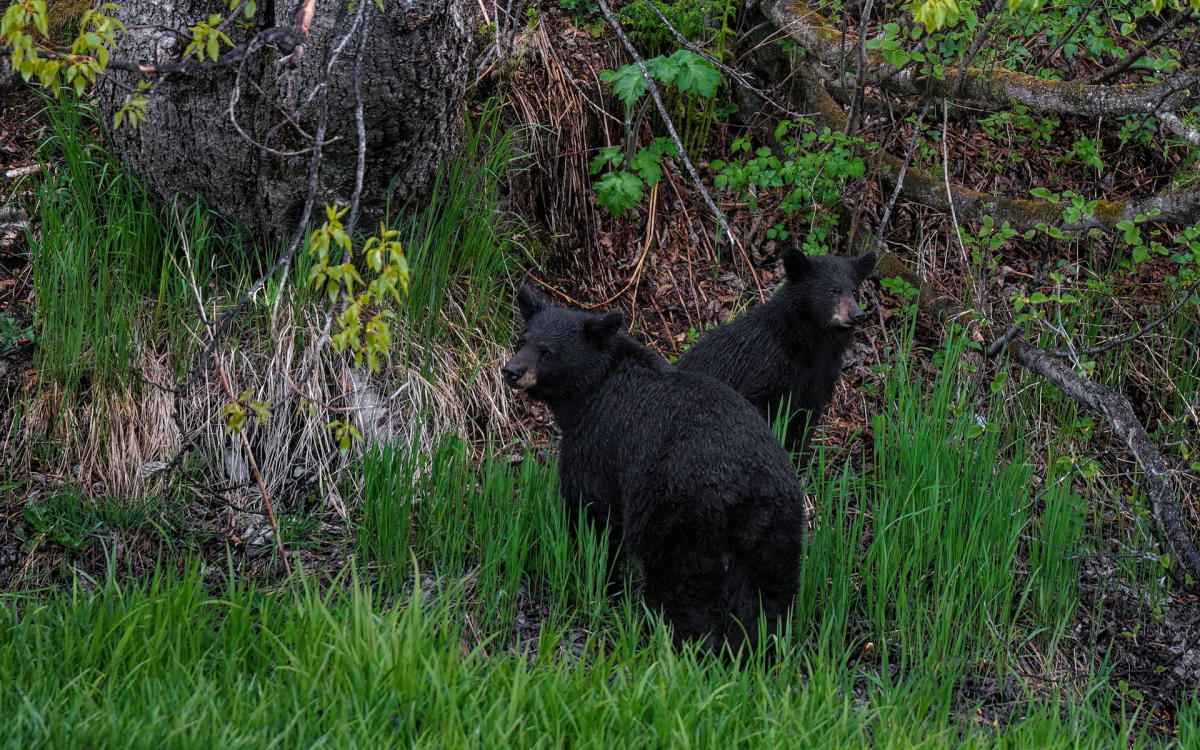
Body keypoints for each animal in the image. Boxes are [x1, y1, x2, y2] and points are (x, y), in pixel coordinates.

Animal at [502, 285, 805, 653]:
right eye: (523, 339)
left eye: (548, 351)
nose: (512, 370)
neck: (593, 388)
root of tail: (749, 495)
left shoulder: (599, 443)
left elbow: (593, 512)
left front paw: (598, 576)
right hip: (779, 532)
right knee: (768, 598)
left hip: (682, 522)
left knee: (684, 590)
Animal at [676, 248, 876, 464]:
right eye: (832, 291)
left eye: (854, 291)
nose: (857, 314)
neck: (806, 342)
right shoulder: (768, 368)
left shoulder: (819, 378)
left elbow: (804, 422)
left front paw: (799, 460)